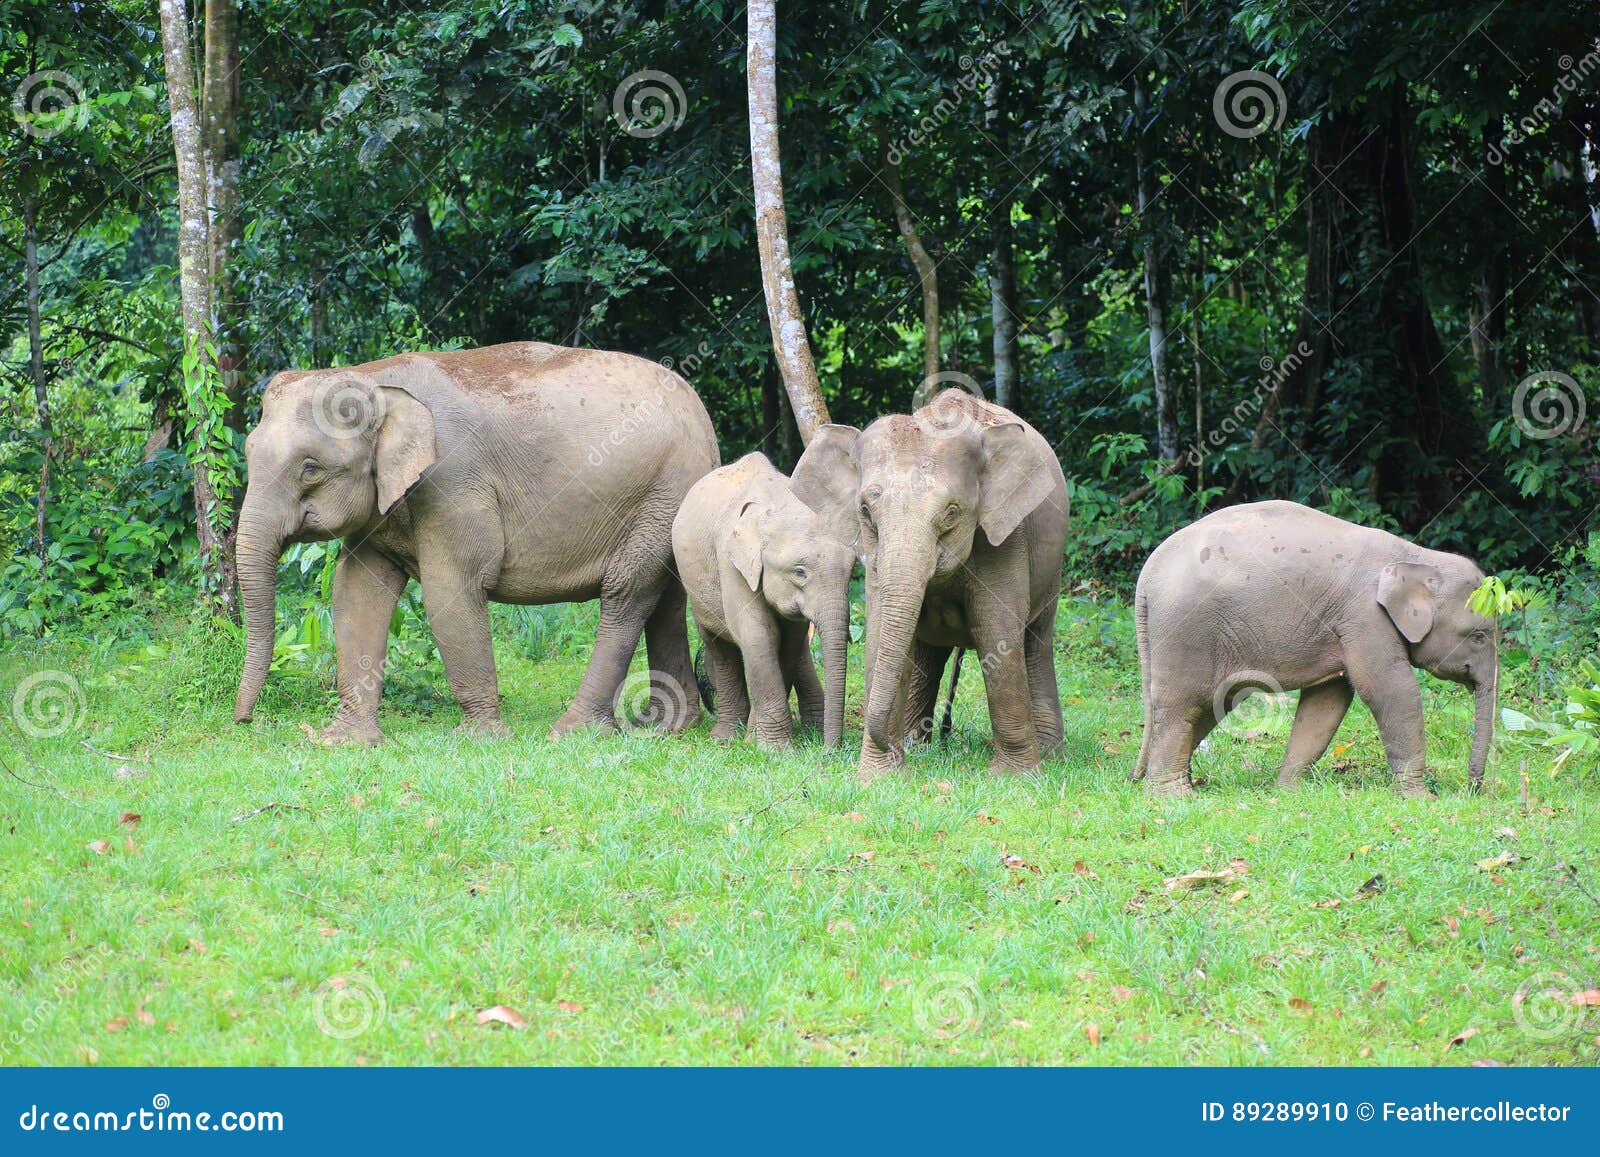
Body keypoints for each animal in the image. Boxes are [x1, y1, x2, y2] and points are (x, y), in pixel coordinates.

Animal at [233, 341, 720, 744]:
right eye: (249, 451)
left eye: (310, 468)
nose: (243, 721)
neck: (376, 379)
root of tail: (703, 416)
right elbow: (356, 591)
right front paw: (345, 742)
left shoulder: (452, 481)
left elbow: (451, 589)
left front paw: (480, 738)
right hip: (669, 502)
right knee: (667, 599)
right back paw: (668, 727)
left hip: (662, 489)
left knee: (626, 593)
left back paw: (573, 731)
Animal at [671, 452, 856, 748]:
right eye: (800, 572)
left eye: (851, 570)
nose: (830, 751)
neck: (777, 505)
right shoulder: (730, 562)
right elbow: (760, 634)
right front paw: (771, 748)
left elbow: (789, 640)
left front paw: (756, 739)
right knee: (718, 645)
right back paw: (726, 736)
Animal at [791, 389, 1069, 780]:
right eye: (865, 511)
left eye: (952, 513)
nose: (832, 750)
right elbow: (881, 632)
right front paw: (879, 778)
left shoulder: (1006, 538)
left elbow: (997, 633)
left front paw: (1015, 777)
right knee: (927, 651)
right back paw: (917, 744)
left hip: (1052, 568)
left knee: (1036, 642)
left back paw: (1050, 752)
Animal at [1130, 500, 1498, 797]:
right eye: (1479, 636)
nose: (1472, 790)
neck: (1416, 556)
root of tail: (1146, 577)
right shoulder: (1365, 618)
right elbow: (1390, 689)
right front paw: (1420, 798)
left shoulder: (1343, 626)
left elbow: (1327, 701)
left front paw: (1286, 792)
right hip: (1185, 630)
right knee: (1182, 705)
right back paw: (1173, 796)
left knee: (1211, 703)